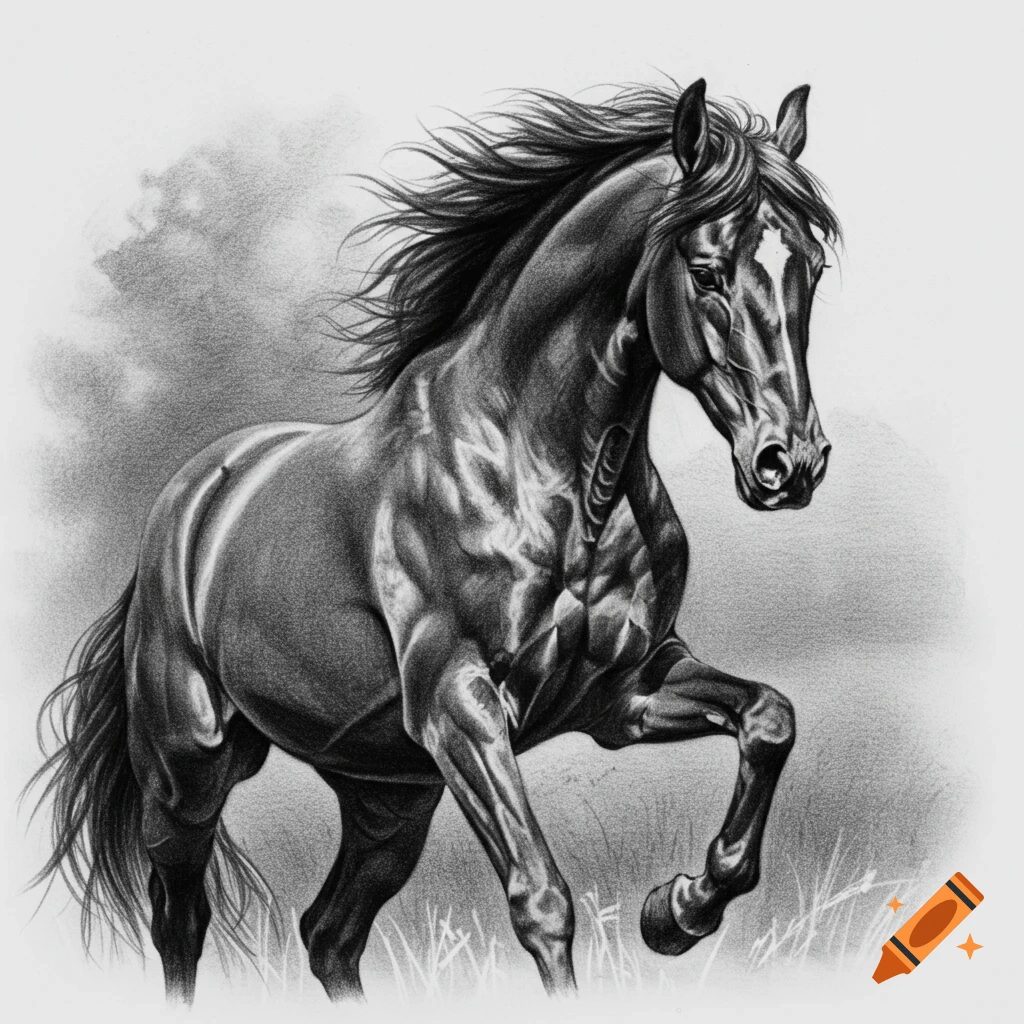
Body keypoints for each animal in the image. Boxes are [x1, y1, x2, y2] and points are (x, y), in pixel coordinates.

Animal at [30, 77, 841, 1003]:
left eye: (811, 267)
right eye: (707, 270)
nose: (790, 462)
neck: (545, 471)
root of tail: (189, 501)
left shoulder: (623, 692)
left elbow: (769, 719)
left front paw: (677, 911)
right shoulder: (461, 705)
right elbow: (542, 900)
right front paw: (667, 913)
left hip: (390, 796)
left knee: (329, 933)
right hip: (188, 768)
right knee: (180, 921)